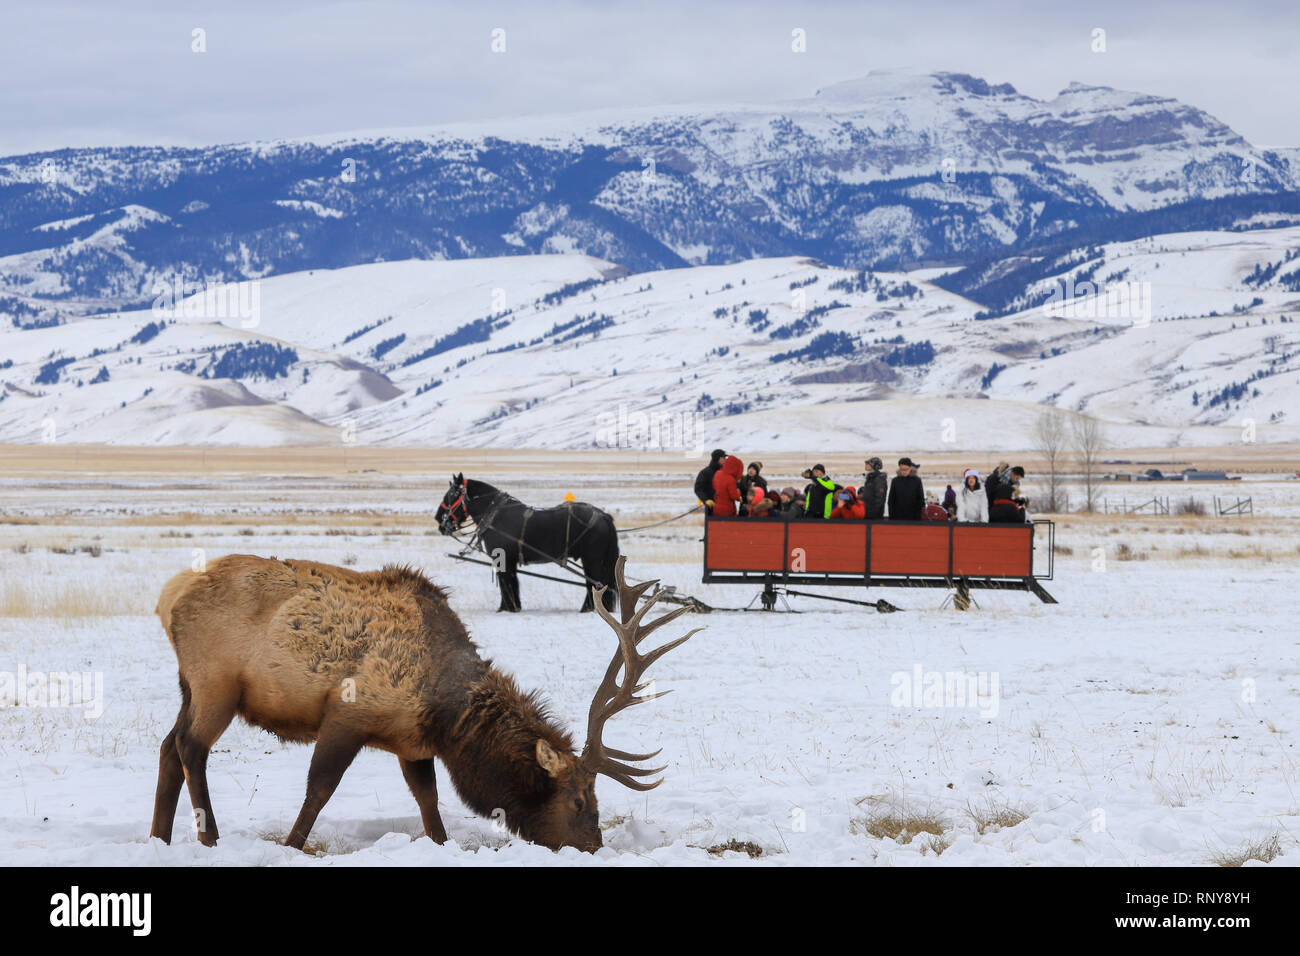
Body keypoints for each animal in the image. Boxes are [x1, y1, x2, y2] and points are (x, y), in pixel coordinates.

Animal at [148, 553, 698, 853]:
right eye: (580, 799)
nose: (593, 846)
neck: (447, 716)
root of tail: (167, 594)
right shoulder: (347, 715)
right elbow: (319, 789)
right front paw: (290, 846)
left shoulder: (411, 743)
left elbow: (428, 800)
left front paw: (441, 844)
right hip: (216, 684)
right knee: (191, 748)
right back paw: (210, 838)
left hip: (188, 685)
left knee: (167, 746)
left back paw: (160, 838)